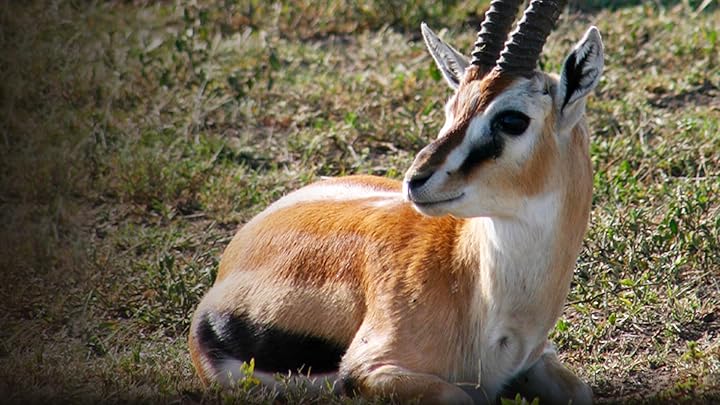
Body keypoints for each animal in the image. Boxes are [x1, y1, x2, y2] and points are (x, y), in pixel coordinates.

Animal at [189, 0, 604, 403]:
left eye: (513, 120)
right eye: (451, 109)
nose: (416, 180)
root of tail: (236, 249)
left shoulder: (538, 359)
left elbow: (580, 392)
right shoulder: (367, 372)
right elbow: (459, 397)